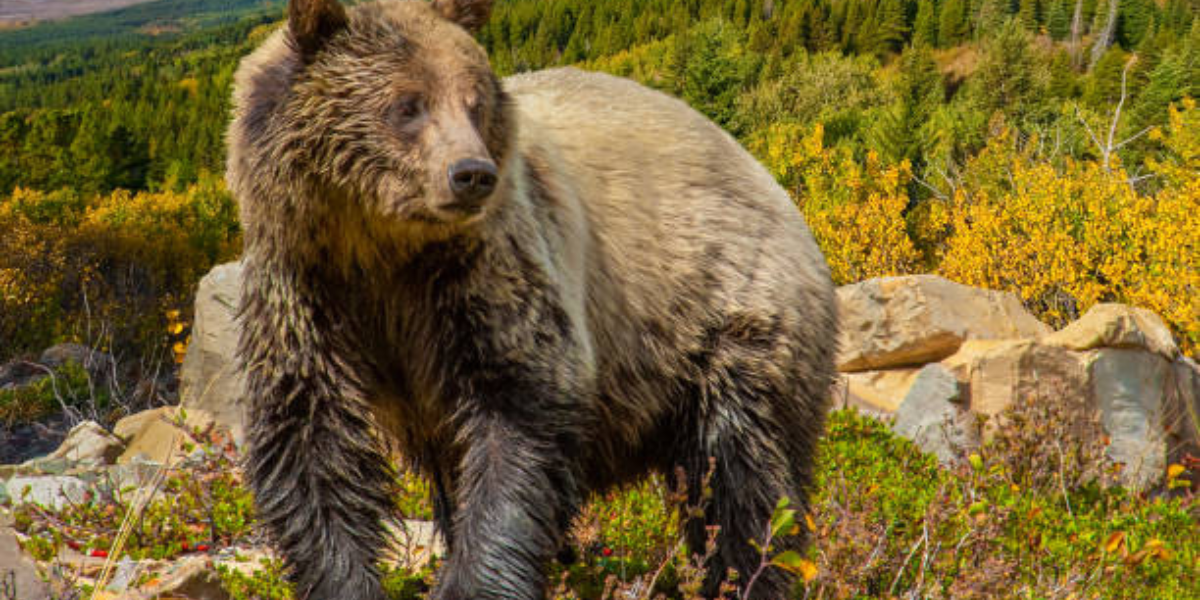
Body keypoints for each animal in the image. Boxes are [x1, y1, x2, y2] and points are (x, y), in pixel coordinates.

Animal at [225, 0, 837, 598]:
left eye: (474, 103)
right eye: (407, 105)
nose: (471, 174)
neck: (381, 248)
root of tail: (768, 181)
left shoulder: (484, 274)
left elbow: (518, 415)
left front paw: (474, 582)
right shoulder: (308, 286)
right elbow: (310, 438)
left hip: (730, 316)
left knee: (740, 475)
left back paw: (748, 575)